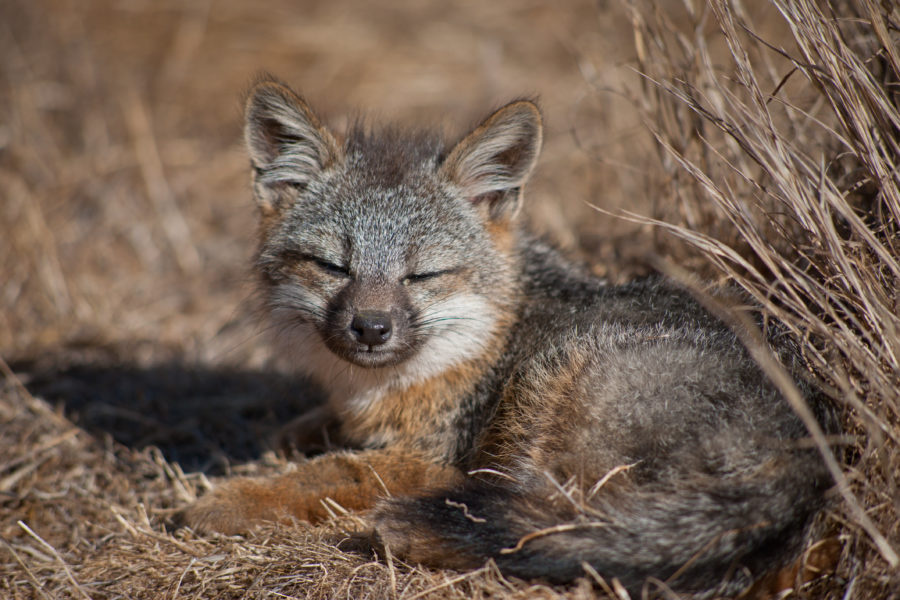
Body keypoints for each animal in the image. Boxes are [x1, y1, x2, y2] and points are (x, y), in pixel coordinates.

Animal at [176, 77, 838, 598]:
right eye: (333, 267)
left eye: (422, 275)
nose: (370, 328)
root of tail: (806, 441)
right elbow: (314, 433)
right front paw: (289, 434)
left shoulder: (431, 455)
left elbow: (334, 473)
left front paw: (228, 499)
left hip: (557, 385)